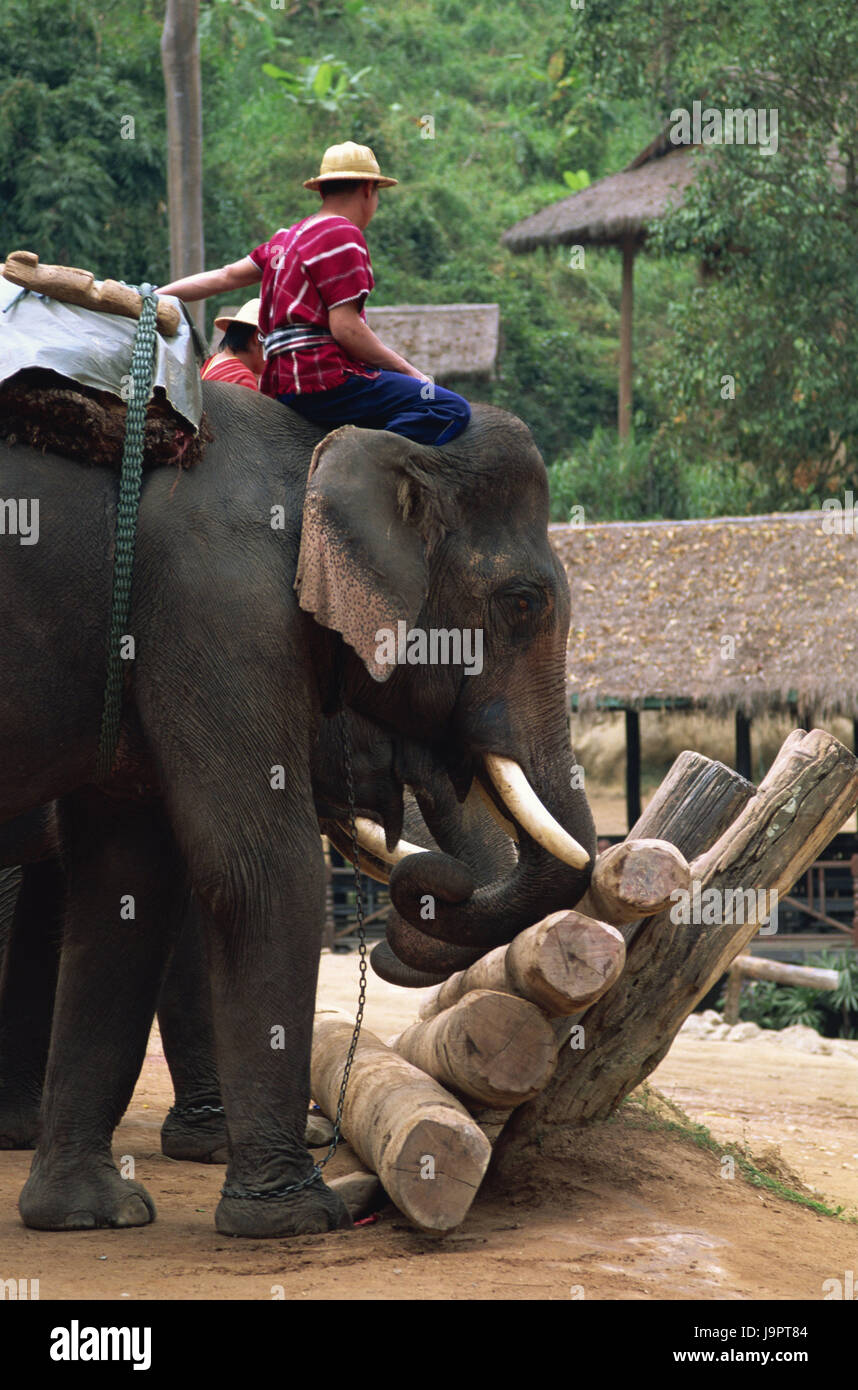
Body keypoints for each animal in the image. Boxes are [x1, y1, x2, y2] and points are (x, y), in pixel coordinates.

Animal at [0, 383, 595, 1236]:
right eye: (522, 603)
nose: (422, 880)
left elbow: (127, 885)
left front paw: (90, 1215)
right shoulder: (221, 605)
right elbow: (256, 869)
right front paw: (299, 1217)